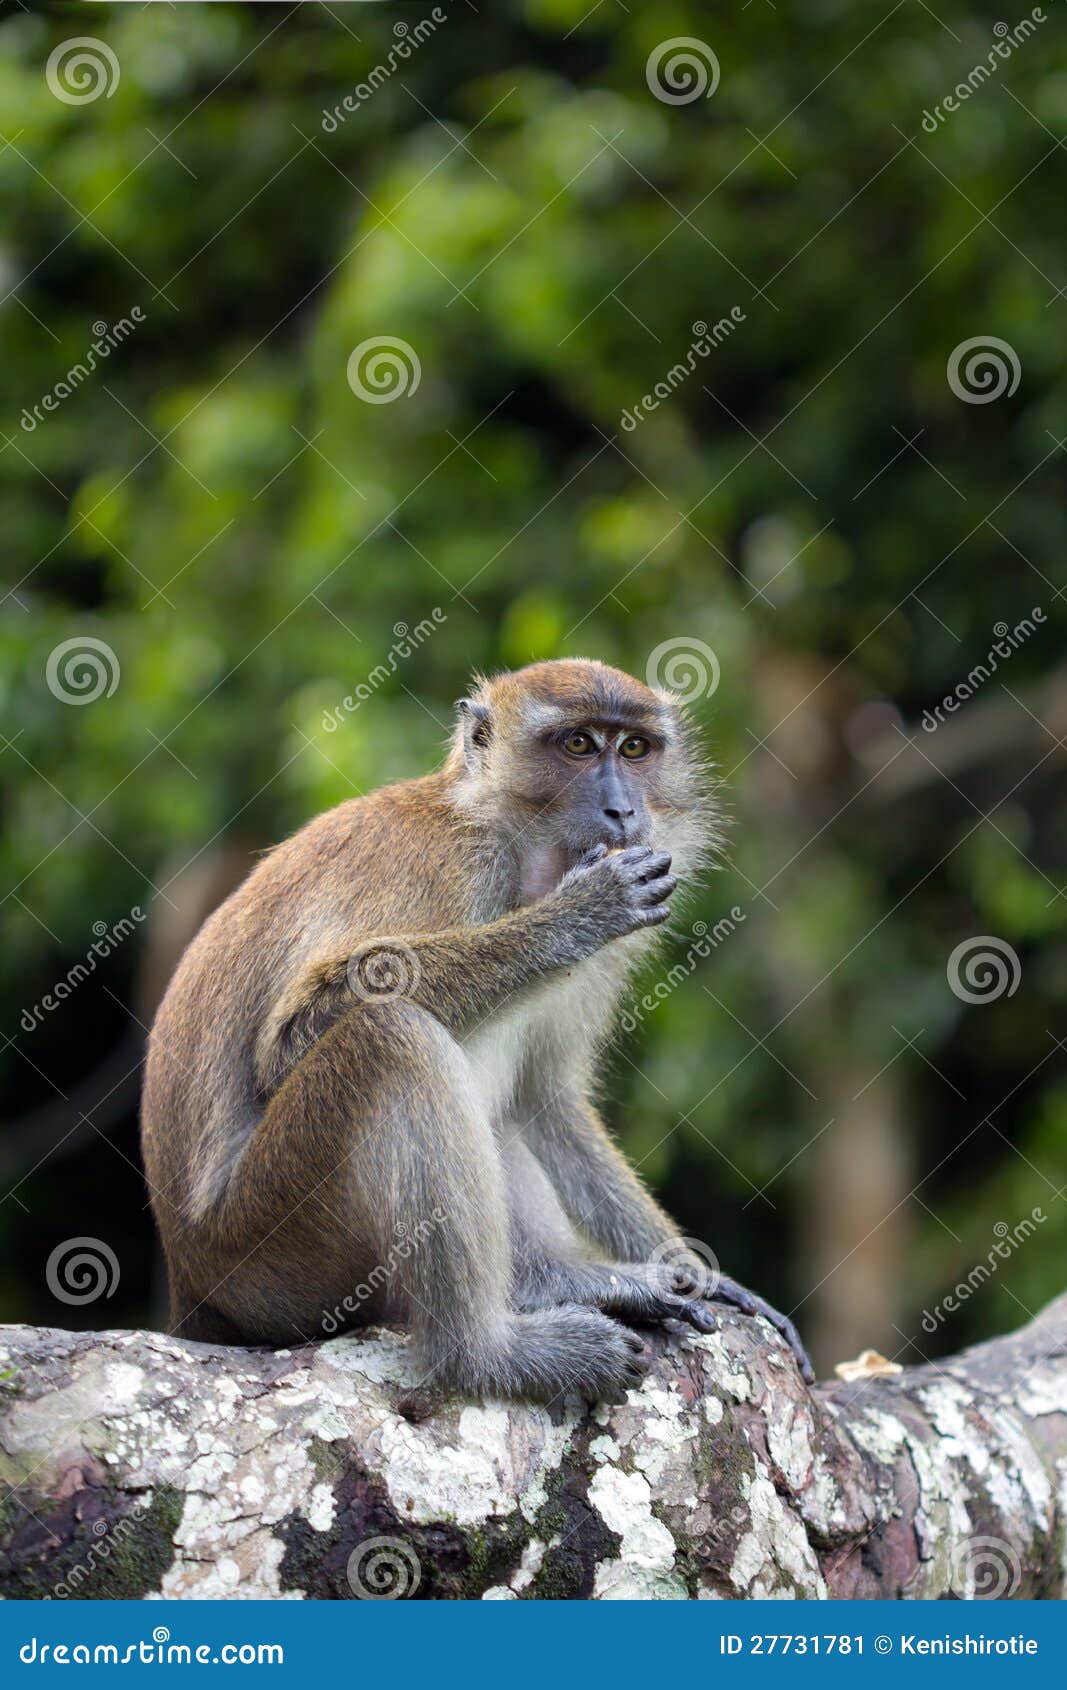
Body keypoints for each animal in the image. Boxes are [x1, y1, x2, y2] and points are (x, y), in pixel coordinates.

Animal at [141, 657, 812, 1404]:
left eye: (634, 748)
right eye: (579, 745)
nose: (623, 810)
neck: (512, 849)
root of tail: (193, 1284)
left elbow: (544, 1099)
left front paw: (704, 1277)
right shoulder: (444, 869)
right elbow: (287, 1042)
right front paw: (573, 919)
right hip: (269, 1250)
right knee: (392, 1039)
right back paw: (491, 1353)